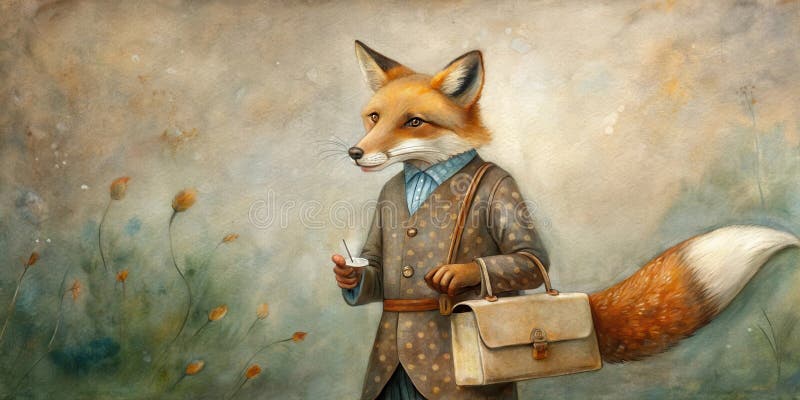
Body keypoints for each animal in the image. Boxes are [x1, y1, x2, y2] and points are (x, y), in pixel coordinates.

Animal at [330, 41, 799, 399]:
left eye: (414, 122)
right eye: (374, 117)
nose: (355, 153)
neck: (422, 178)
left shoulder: (504, 193)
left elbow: (528, 255)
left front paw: (455, 273)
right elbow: (373, 265)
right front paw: (349, 277)